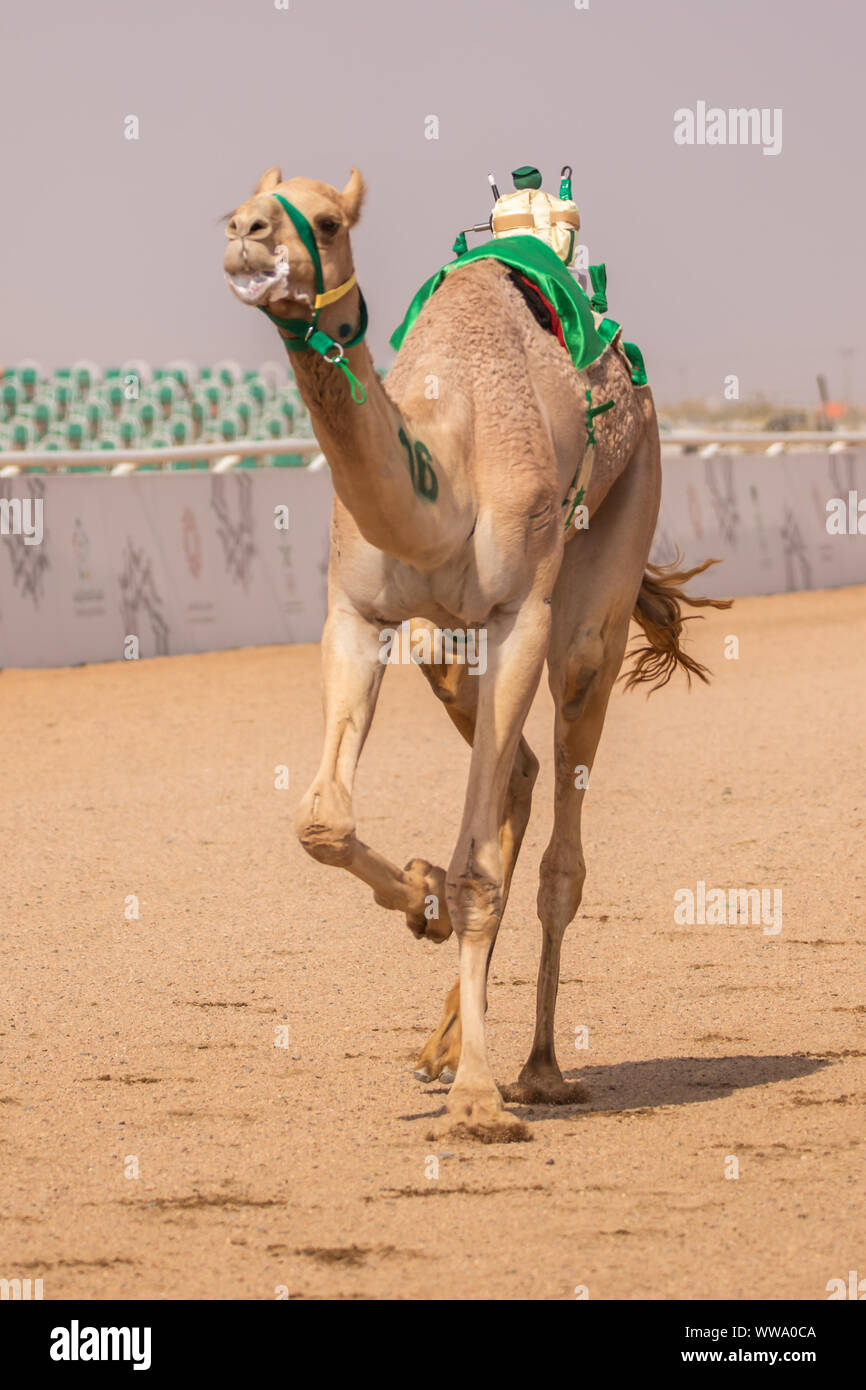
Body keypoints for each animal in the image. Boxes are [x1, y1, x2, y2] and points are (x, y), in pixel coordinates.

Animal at [223, 166, 729, 1141]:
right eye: (235, 208)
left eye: (329, 221)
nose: (246, 234)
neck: (444, 464)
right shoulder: (357, 616)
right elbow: (323, 821)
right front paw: (418, 900)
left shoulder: (518, 614)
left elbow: (480, 873)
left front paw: (478, 1103)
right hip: (445, 653)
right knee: (519, 773)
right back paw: (445, 1044)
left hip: (605, 572)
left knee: (560, 847)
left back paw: (535, 1069)